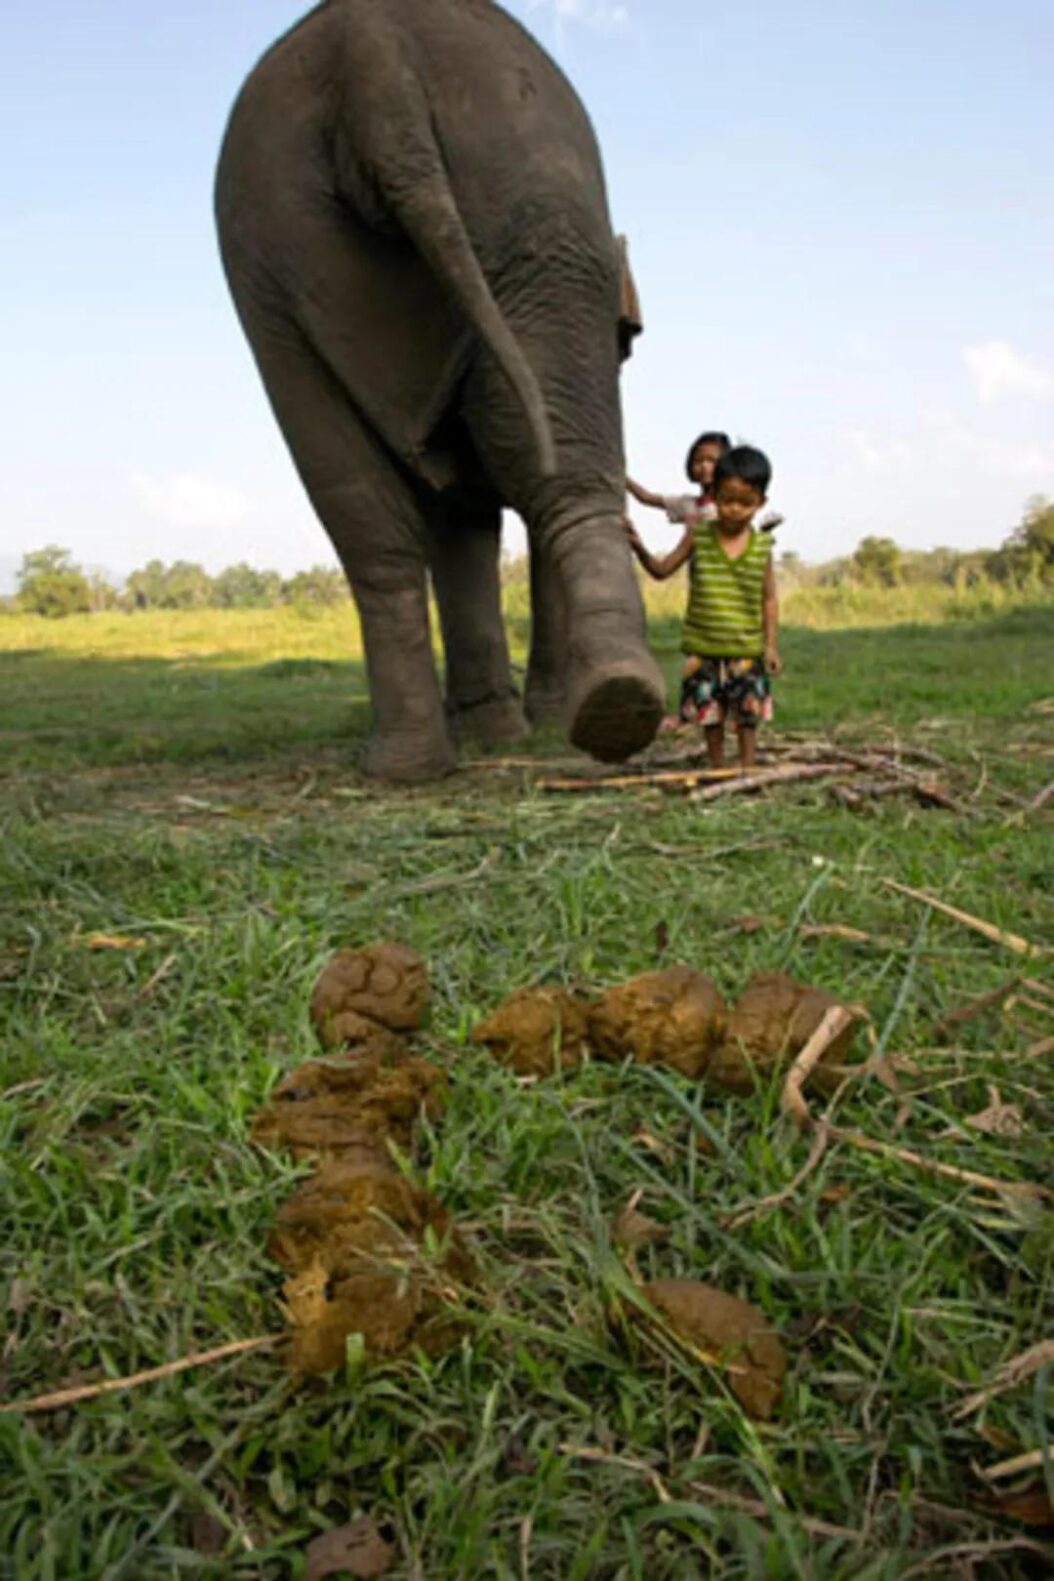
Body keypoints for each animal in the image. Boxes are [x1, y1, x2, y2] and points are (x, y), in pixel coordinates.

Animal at [215, 0, 664, 782]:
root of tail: (370, 53)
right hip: (530, 219)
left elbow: (464, 507)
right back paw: (612, 706)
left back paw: (412, 763)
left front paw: (501, 730)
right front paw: (524, 725)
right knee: (557, 468)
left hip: (283, 255)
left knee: (360, 508)